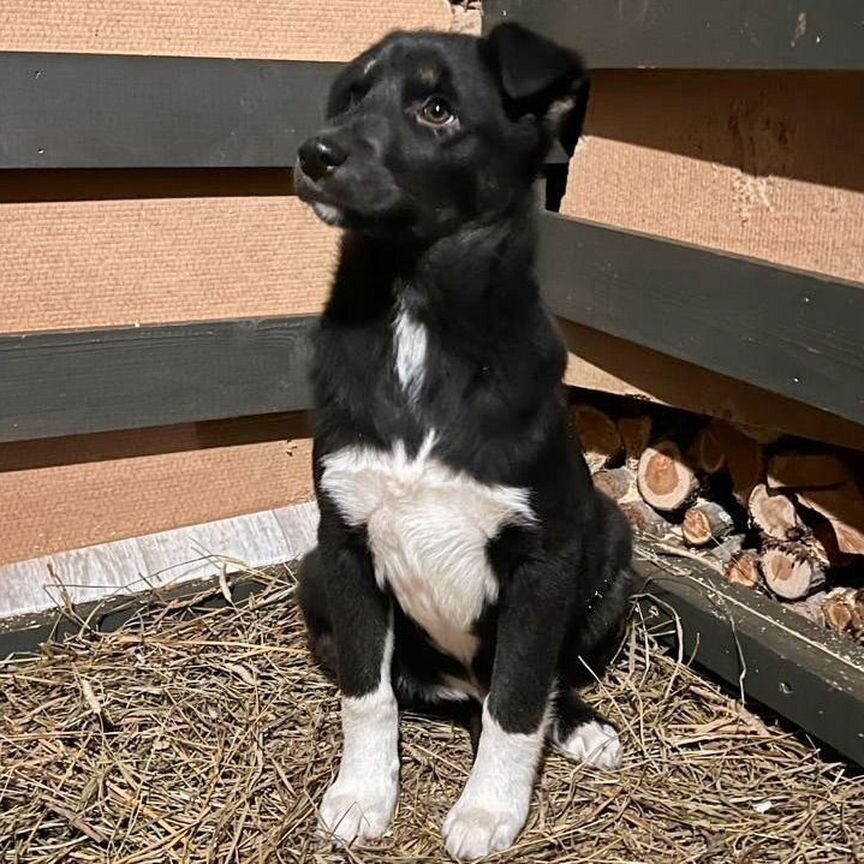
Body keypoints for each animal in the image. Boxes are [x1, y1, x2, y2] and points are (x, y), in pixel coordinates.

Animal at [294, 23, 632, 860]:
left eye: (437, 109)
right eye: (354, 96)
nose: (314, 154)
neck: (417, 312)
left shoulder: (544, 560)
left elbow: (518, 698)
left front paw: (488, 810)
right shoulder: (342, 543)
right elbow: (367, 692)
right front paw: (363, 792)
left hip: (613, 543)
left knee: (530, 682)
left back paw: (581, 727)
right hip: (312, 572)